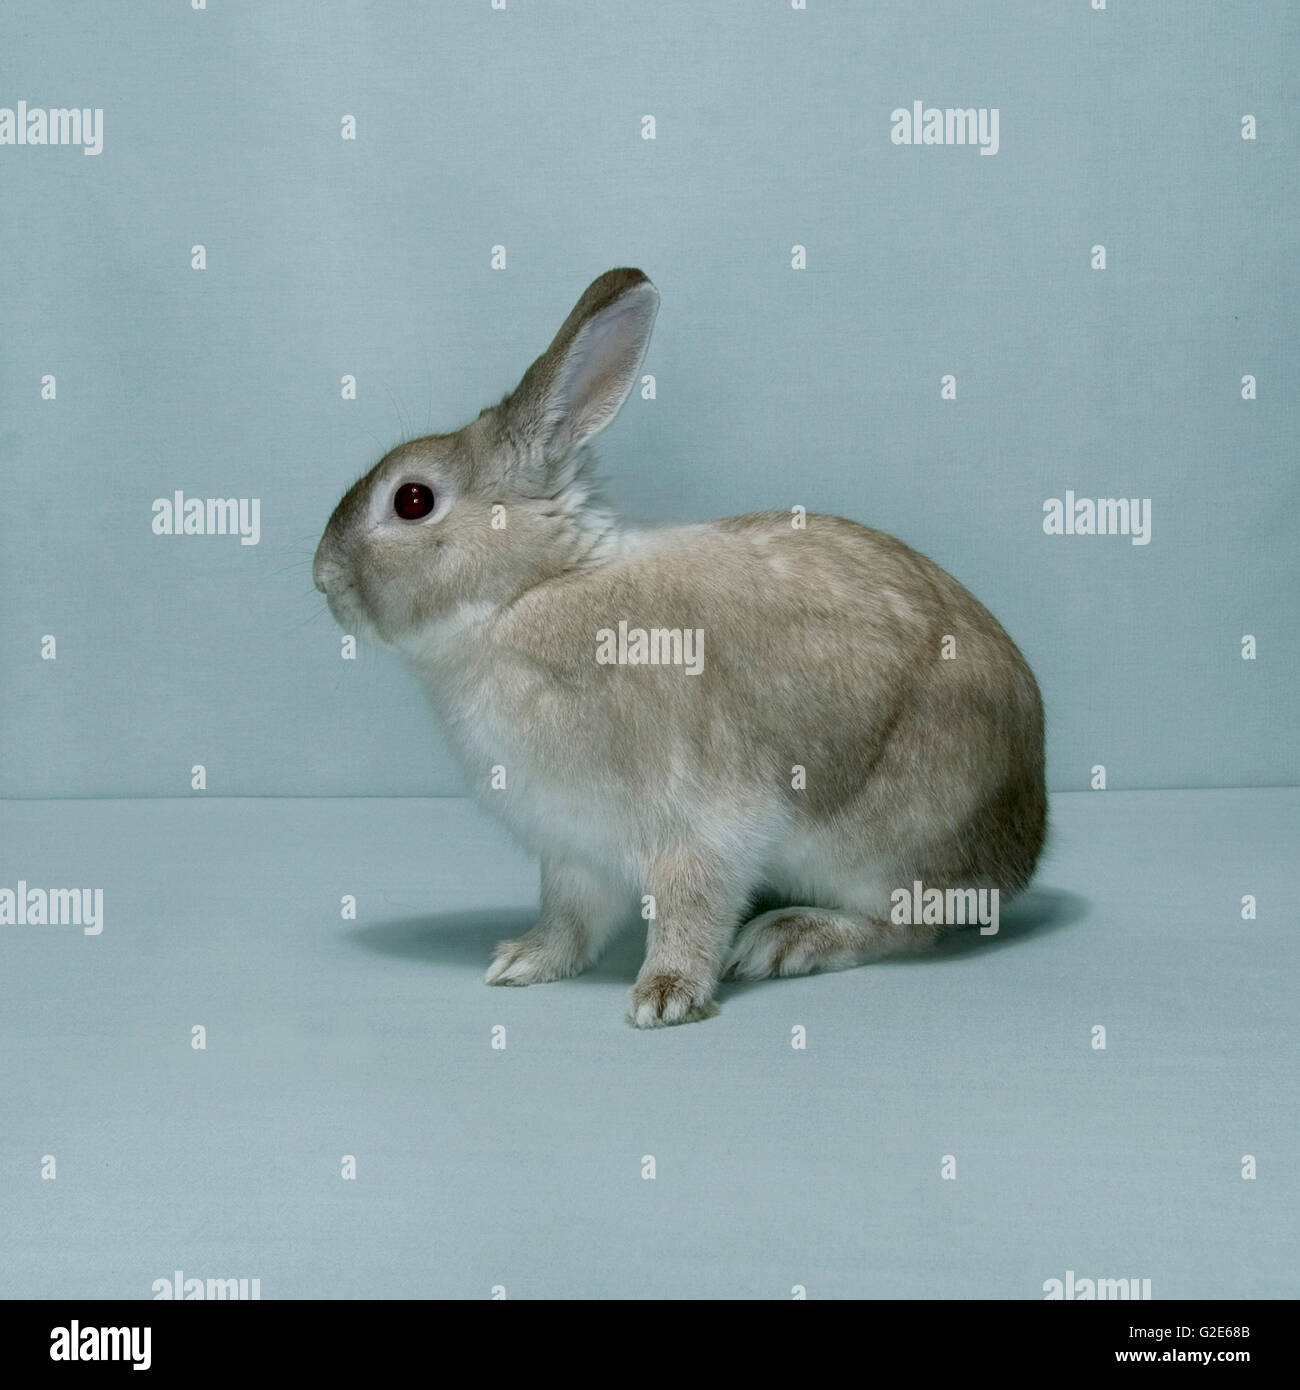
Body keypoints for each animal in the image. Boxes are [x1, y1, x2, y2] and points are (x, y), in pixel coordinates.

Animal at [313, 268, 1047, 1027]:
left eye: (412, 501)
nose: (322, 578)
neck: (530, 591)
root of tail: (1021, 848)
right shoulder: (573, 848)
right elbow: (570, 917)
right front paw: (525, 962)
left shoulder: (702, 826)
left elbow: (691, 910)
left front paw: (664, 997)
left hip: (890, 843)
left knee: (907, 923)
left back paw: (789, 938)